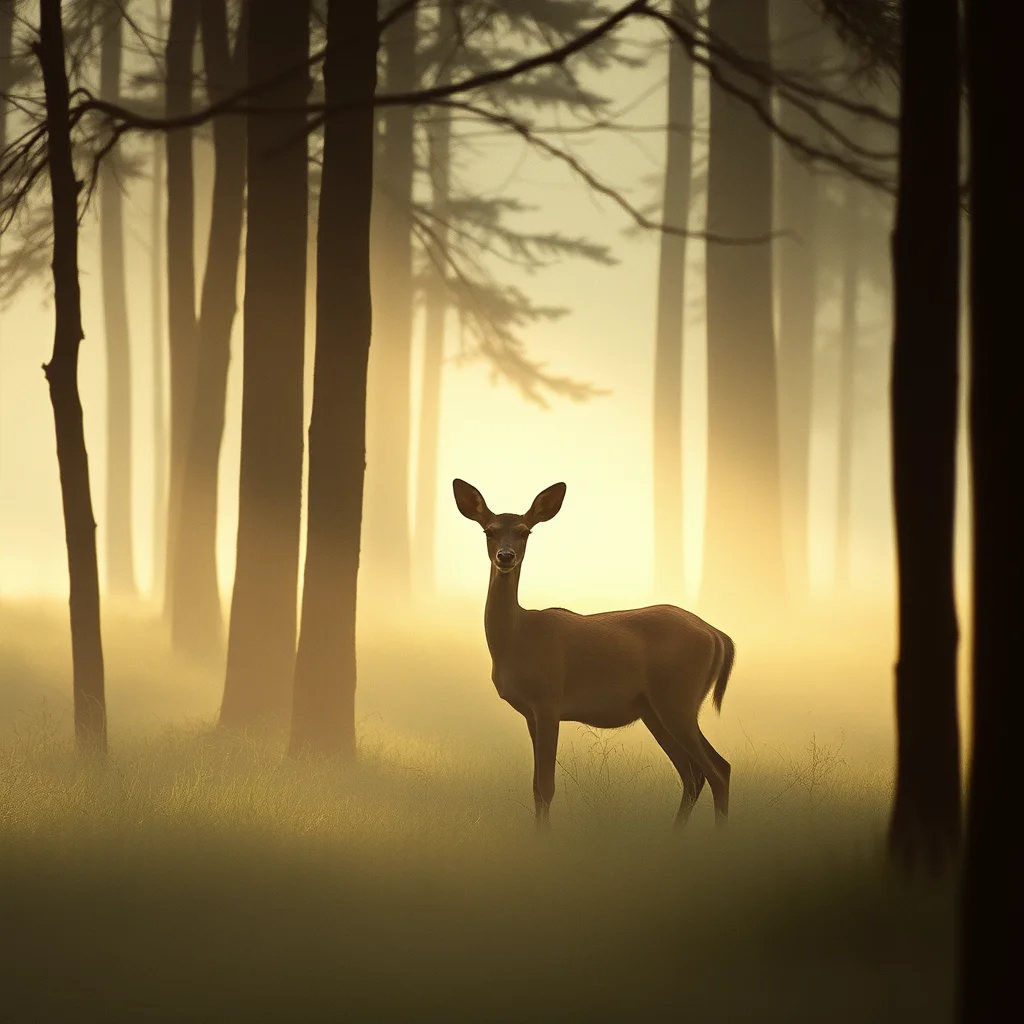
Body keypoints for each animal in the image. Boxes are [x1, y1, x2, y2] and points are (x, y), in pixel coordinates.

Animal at [453, 478, 735, 828]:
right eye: (488, 531)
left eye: (525, 531)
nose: (506, 557)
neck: (518, 640)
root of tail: (716, 635)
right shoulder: (531, 712)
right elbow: (535, 788)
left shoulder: (548, 700)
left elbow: (546, 786)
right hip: (655, 711)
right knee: (695, 774)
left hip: (678, 699)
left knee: (718, 769)